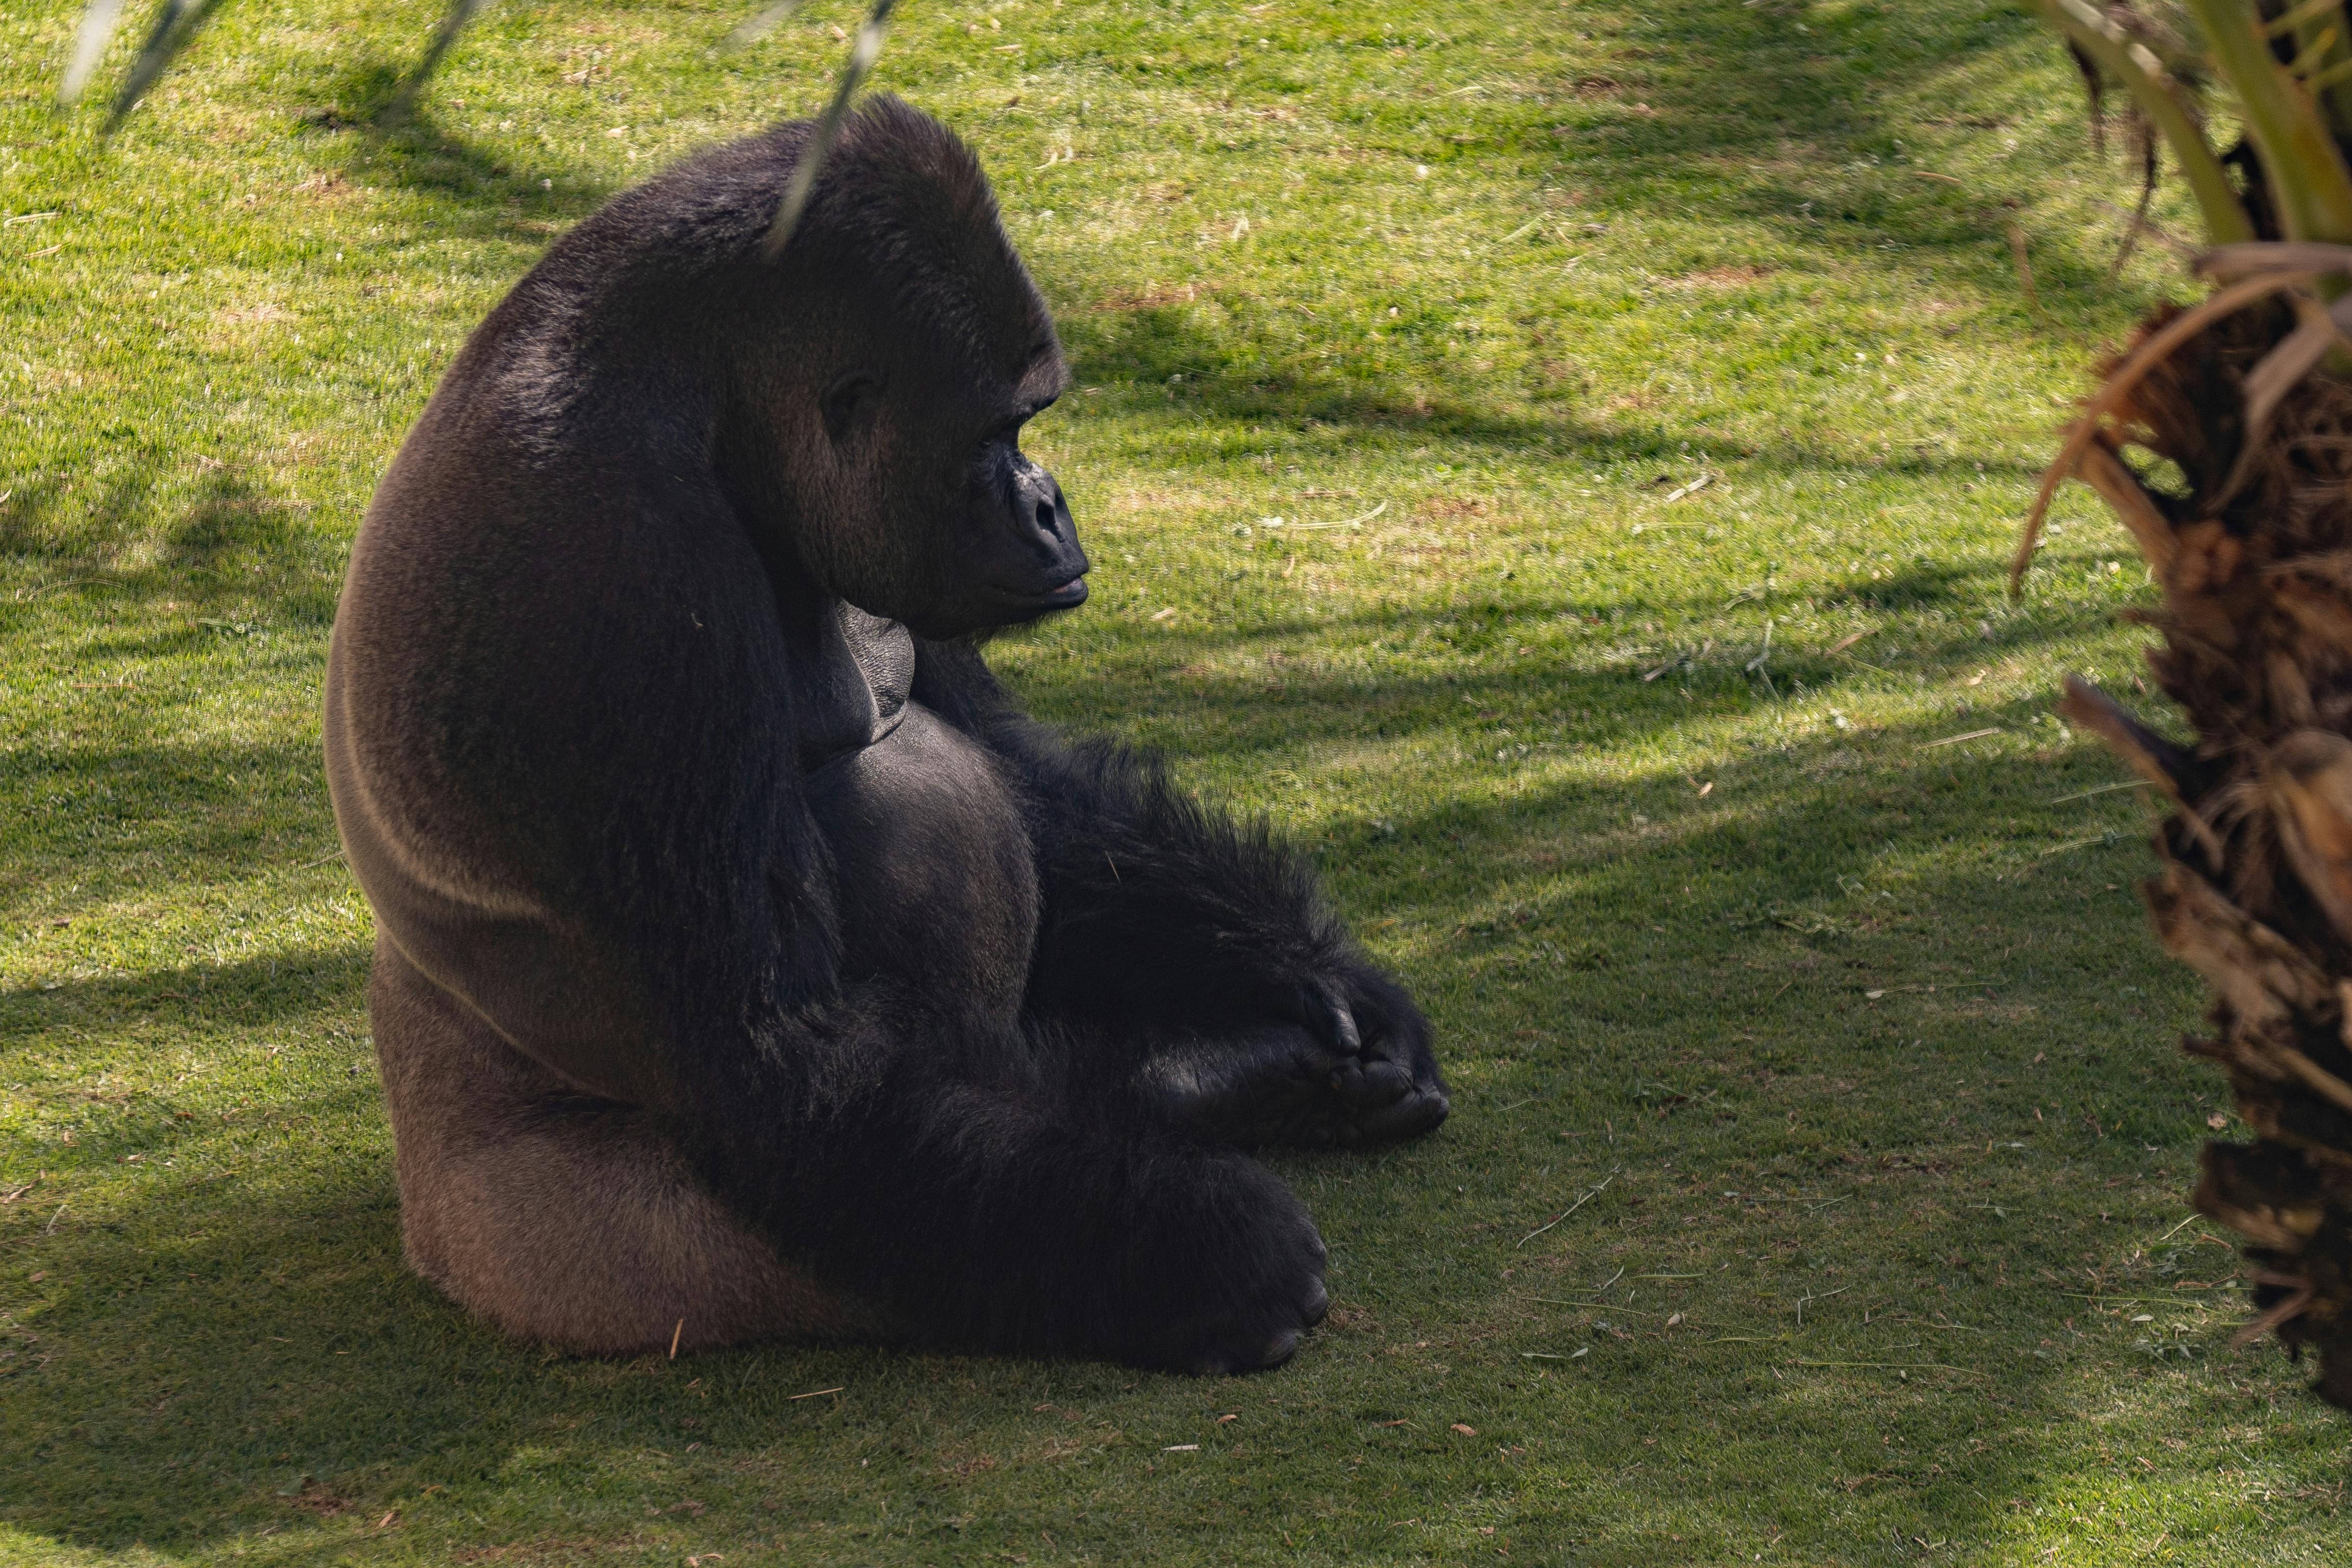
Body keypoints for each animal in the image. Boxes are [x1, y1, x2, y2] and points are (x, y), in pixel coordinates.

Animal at [324, 97, 1448, 1374]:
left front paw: (1310, 971)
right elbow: (775, 1063)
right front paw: (1208, 1251)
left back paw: (1211, 1073)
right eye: (1001, 430)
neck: (695, 397)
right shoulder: (618, 580)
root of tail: (429, 1211)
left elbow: (1014, 763)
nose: (1049, 504)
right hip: (573, 1254)